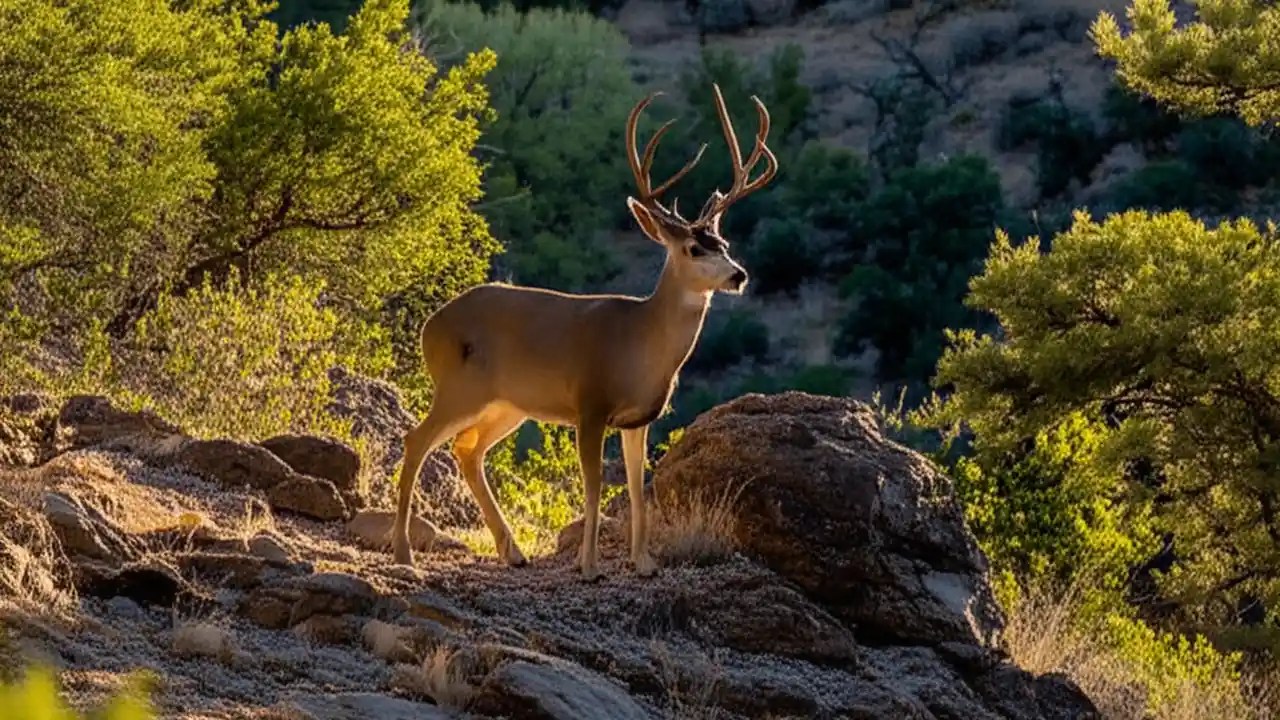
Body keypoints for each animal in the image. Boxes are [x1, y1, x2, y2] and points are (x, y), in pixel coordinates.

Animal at [391, 83, 778, 581]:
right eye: (694, 248)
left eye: (724, 243)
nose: (739, 275)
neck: (640, 340)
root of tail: (430, 325)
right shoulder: (590, 405)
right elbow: (592, 487)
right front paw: (590, 566)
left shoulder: (639, 418)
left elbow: (635, 489)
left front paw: (643, 563)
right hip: (459, 387)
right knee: (417, 440)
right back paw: (404, 554)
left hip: (507, 404)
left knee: (467, 450)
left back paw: (513, 552)